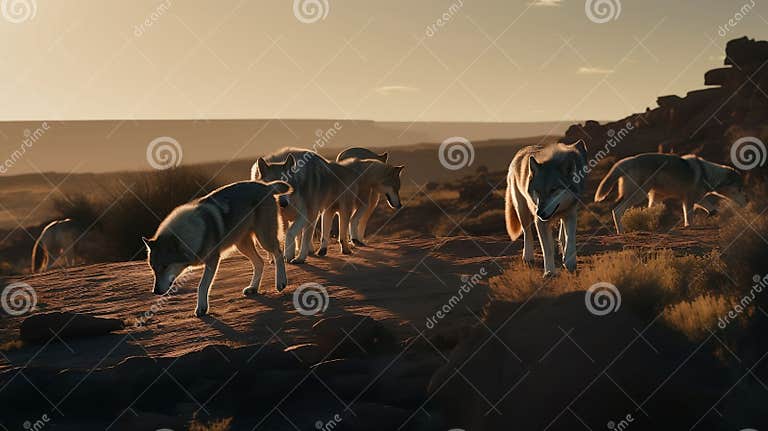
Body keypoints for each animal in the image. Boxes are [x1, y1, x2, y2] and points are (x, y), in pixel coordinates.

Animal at [143, 180, 291, 317]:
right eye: (153, 268)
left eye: (164, 266)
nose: (155, 291)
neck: (191, 233)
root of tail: (266, 185)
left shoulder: (213, 260)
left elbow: (202, 286)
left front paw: (201, 309)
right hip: (242, 245)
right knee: (260, 262)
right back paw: (253, 288)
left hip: (263, 239)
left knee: (278, 253)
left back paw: (281, 283)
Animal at [505, 141, 588, 276]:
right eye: (537, 191)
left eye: (553, 190)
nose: (539, 212)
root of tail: (519, 153)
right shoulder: (540, 222)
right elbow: (547, 249)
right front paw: (549, 272)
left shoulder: (570, 213)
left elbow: (570, 238)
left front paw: (570, 262)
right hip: (522, 210)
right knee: (527, 233)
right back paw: (528, 257)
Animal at [594, 153, 747, 234]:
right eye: (739, 189)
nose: (746, 203)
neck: (707, 173)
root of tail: (630, 160)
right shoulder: (689, 199)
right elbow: (690, 217)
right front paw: (689, 226)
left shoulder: (684, 198)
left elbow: (709, 207)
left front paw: (713, 214)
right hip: (638, 194)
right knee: (616, 209)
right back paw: (621, 231)